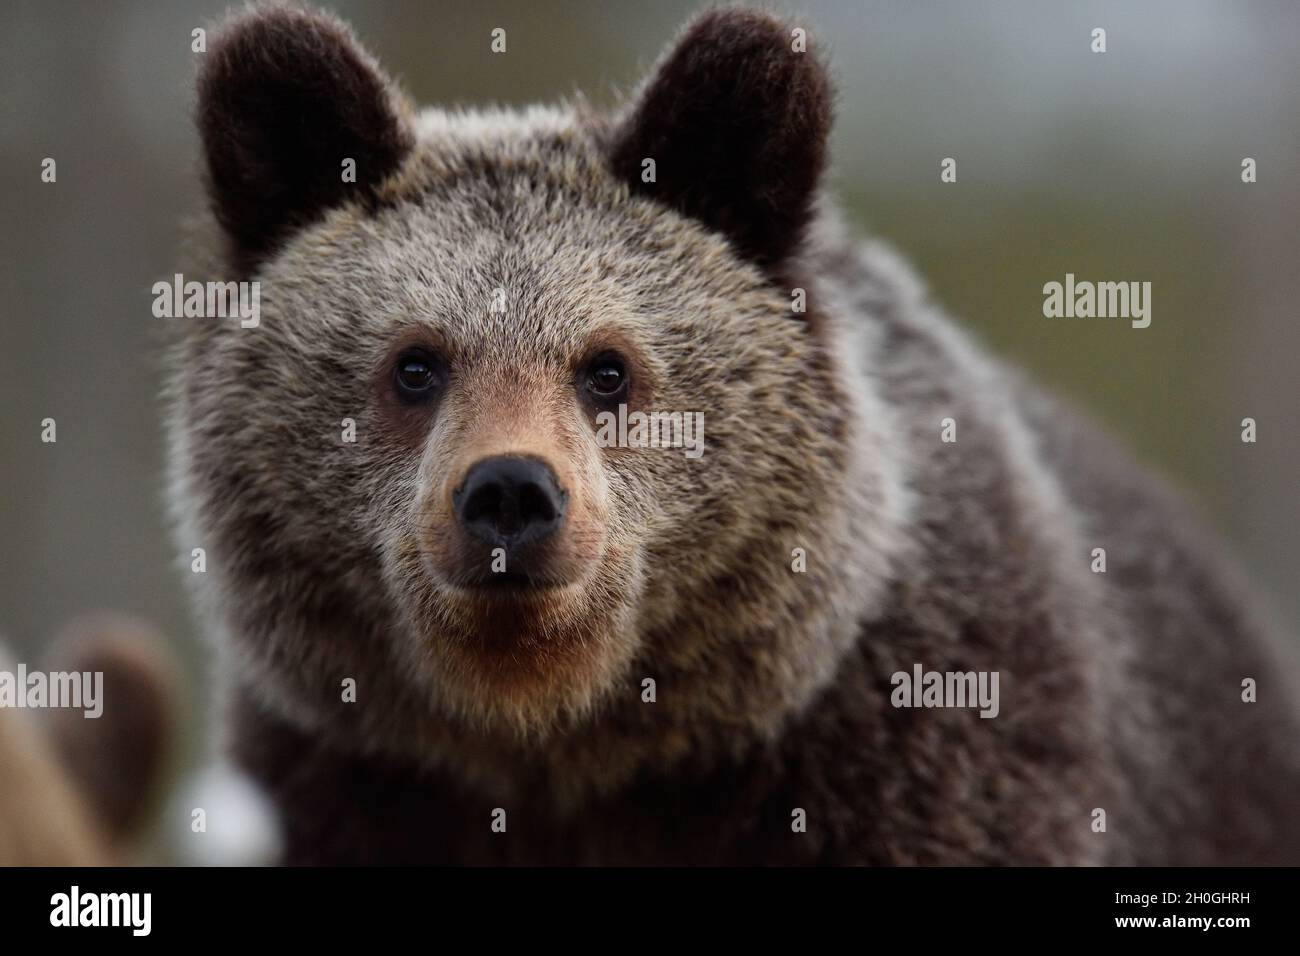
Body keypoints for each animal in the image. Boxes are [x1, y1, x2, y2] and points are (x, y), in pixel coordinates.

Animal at [165, 4, 1300, 864]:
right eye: (415, 363)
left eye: (608, 366)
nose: (511, 493)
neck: (561, 743)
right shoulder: (351, 778)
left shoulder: (926, 753)